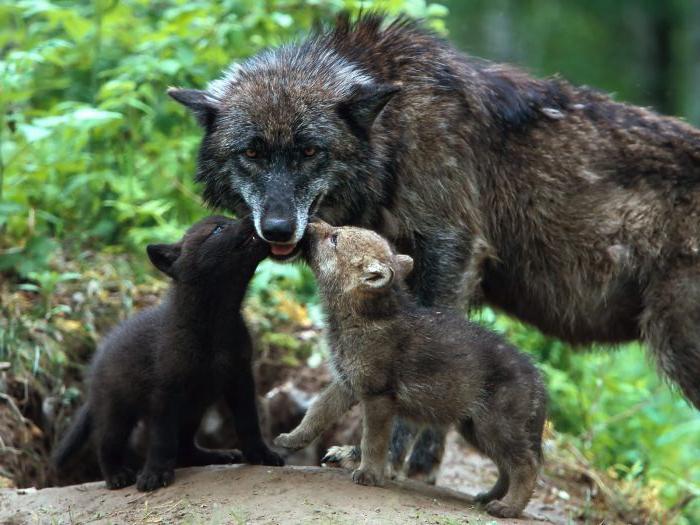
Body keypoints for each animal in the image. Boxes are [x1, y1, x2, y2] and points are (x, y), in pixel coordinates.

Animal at [52, 215, 284, 490]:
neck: (215, 321)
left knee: (185, 447)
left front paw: (261, 455)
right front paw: (155, 474)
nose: (252, 217)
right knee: (106, 444)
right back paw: (116, 476)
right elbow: (162, 439)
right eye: (218, 229)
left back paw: (216, 455)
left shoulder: (241, 378)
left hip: (193, 408)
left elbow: (249, 422)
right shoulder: (165, 391)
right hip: (116, 410)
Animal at [168, 13, 700, 478]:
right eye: (252, 152)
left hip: (678, 350)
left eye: (310, 151)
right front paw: (421, 459)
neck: (396, 133)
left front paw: (384, 456)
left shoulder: (450, 251)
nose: (277, 229)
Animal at [274, 220, 548, 516]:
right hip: (475, 429)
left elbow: (373, 440)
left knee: (526, 465)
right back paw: (489, 497)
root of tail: (538, 379)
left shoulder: (379, 396)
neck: (361, 319)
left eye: (335, 238)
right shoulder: (346, 384)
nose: (310, 223)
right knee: (507, 467)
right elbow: (316, 413)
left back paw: (507, 508)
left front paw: (369, 475)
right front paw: (291, 439)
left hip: (494, 427)